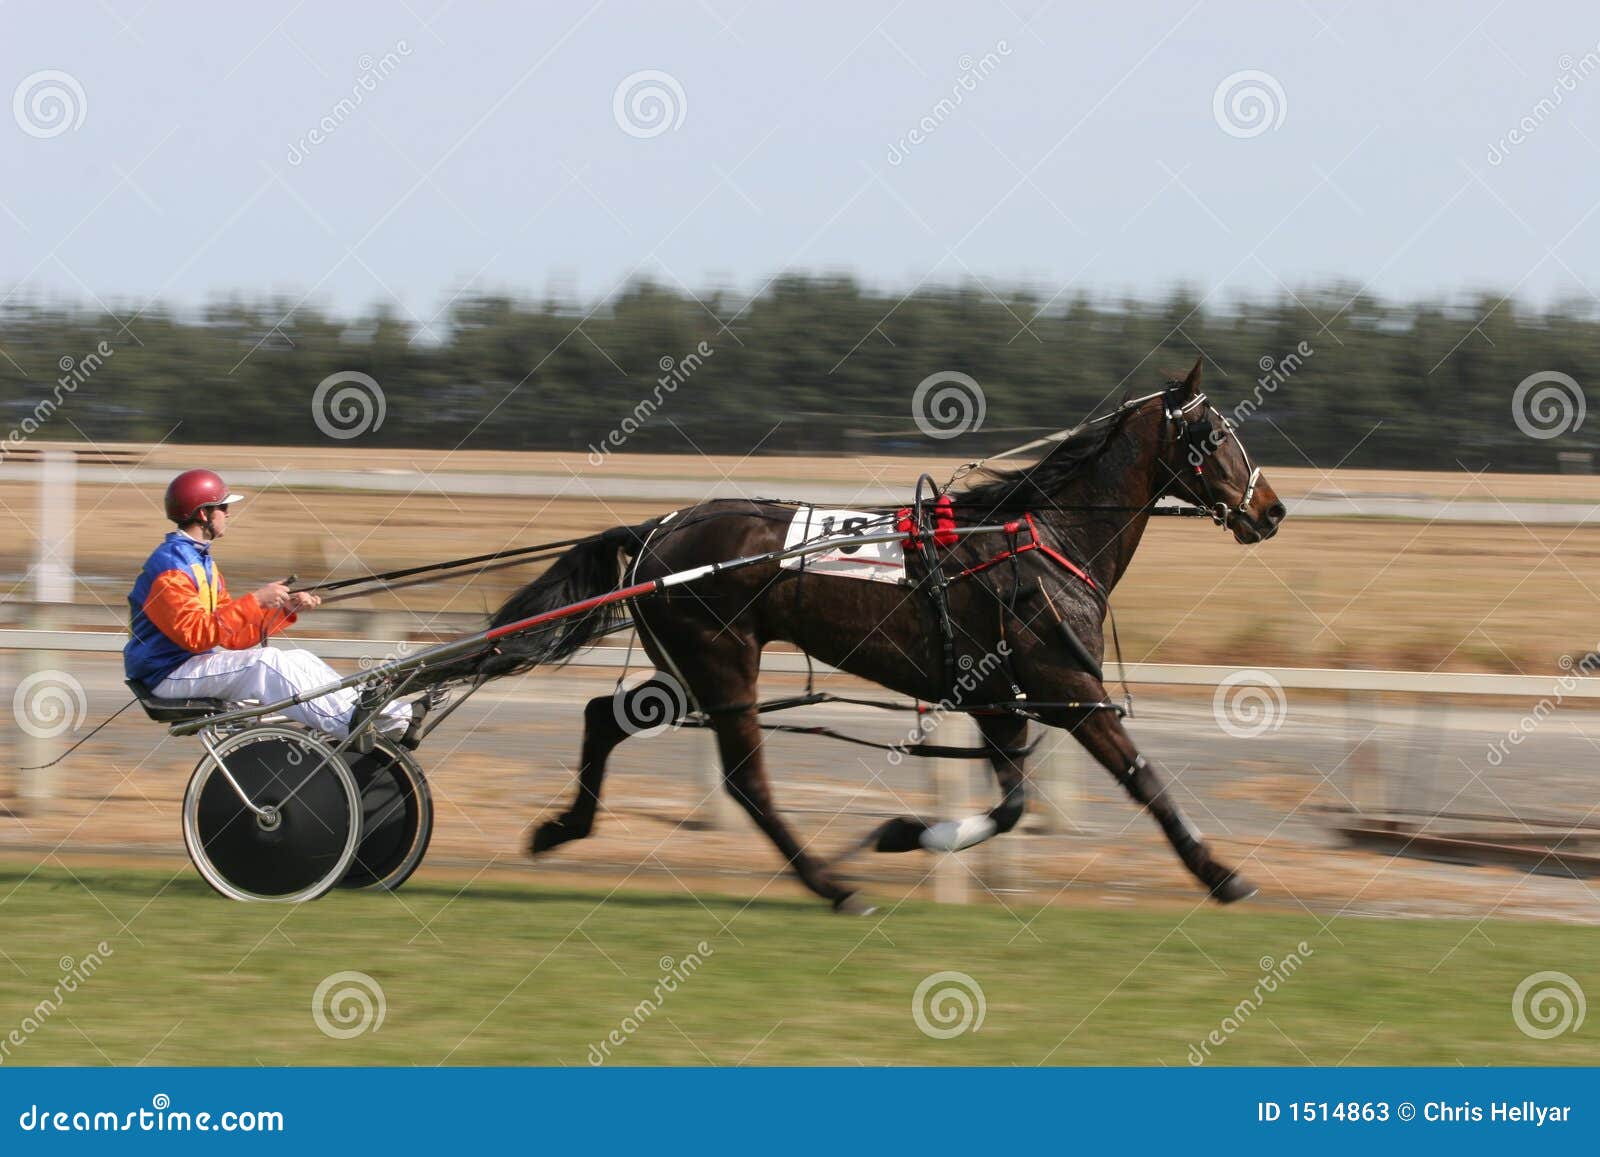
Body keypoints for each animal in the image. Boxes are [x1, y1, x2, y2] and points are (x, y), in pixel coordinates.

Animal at [453, 360, 1285, 912]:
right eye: (1214, 432)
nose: (1270, 509)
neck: (1039, 539)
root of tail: (661, 526)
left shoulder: (997, 696)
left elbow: (1015, 802)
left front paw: (906, 832)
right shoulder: (1062, 682)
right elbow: (1142, 778)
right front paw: (1222, 874)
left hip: (688, 665)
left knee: (605, 715)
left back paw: (560, 829)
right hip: (722, 663)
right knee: (747, 782)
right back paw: (832, 884)